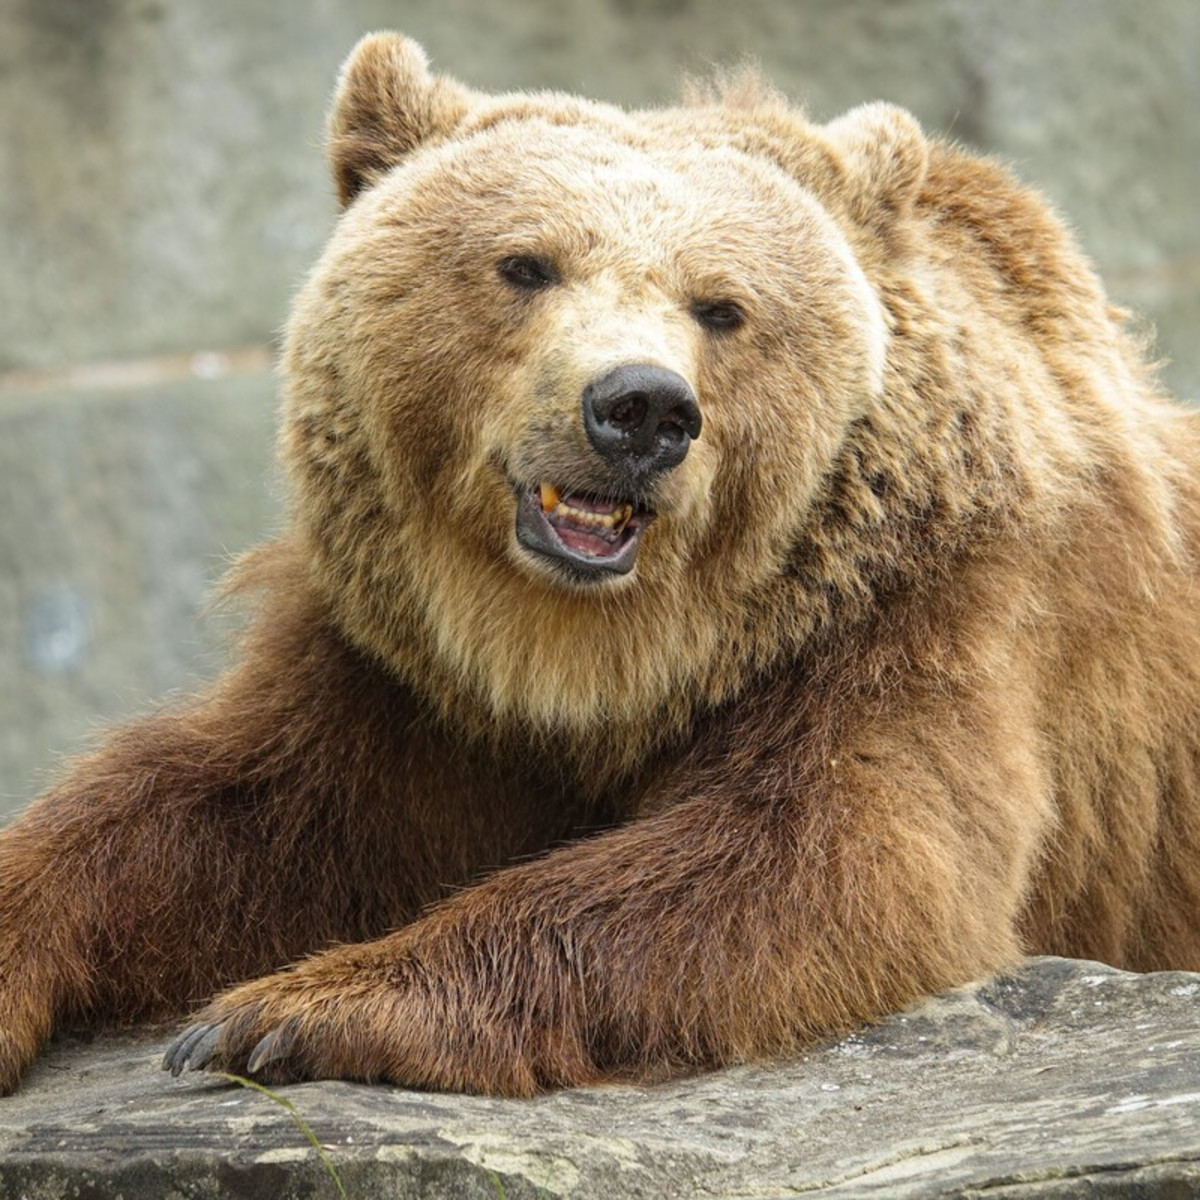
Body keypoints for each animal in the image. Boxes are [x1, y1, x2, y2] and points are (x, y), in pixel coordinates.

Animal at [2, 31, 1199, 1099]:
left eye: (724, 305)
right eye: (525, 263)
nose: (641, 407)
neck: (592, 658)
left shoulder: (917, 608)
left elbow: (829, 863)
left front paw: (286, 1011)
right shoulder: (407, 672)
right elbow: (227, 808)